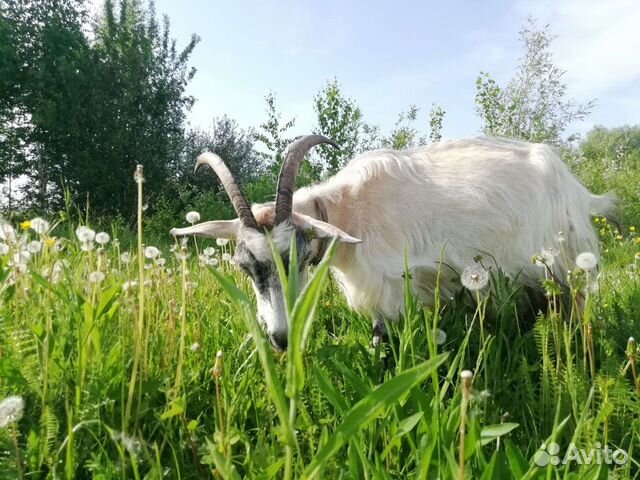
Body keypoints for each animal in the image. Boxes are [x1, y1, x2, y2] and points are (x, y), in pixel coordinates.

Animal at [171, 135, 613, 350]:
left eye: (299, 257)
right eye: (245, 267)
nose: (281, 339)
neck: (347, 211)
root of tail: (574, 187)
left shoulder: (394, 288)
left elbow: (381, 341)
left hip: (566, 260)